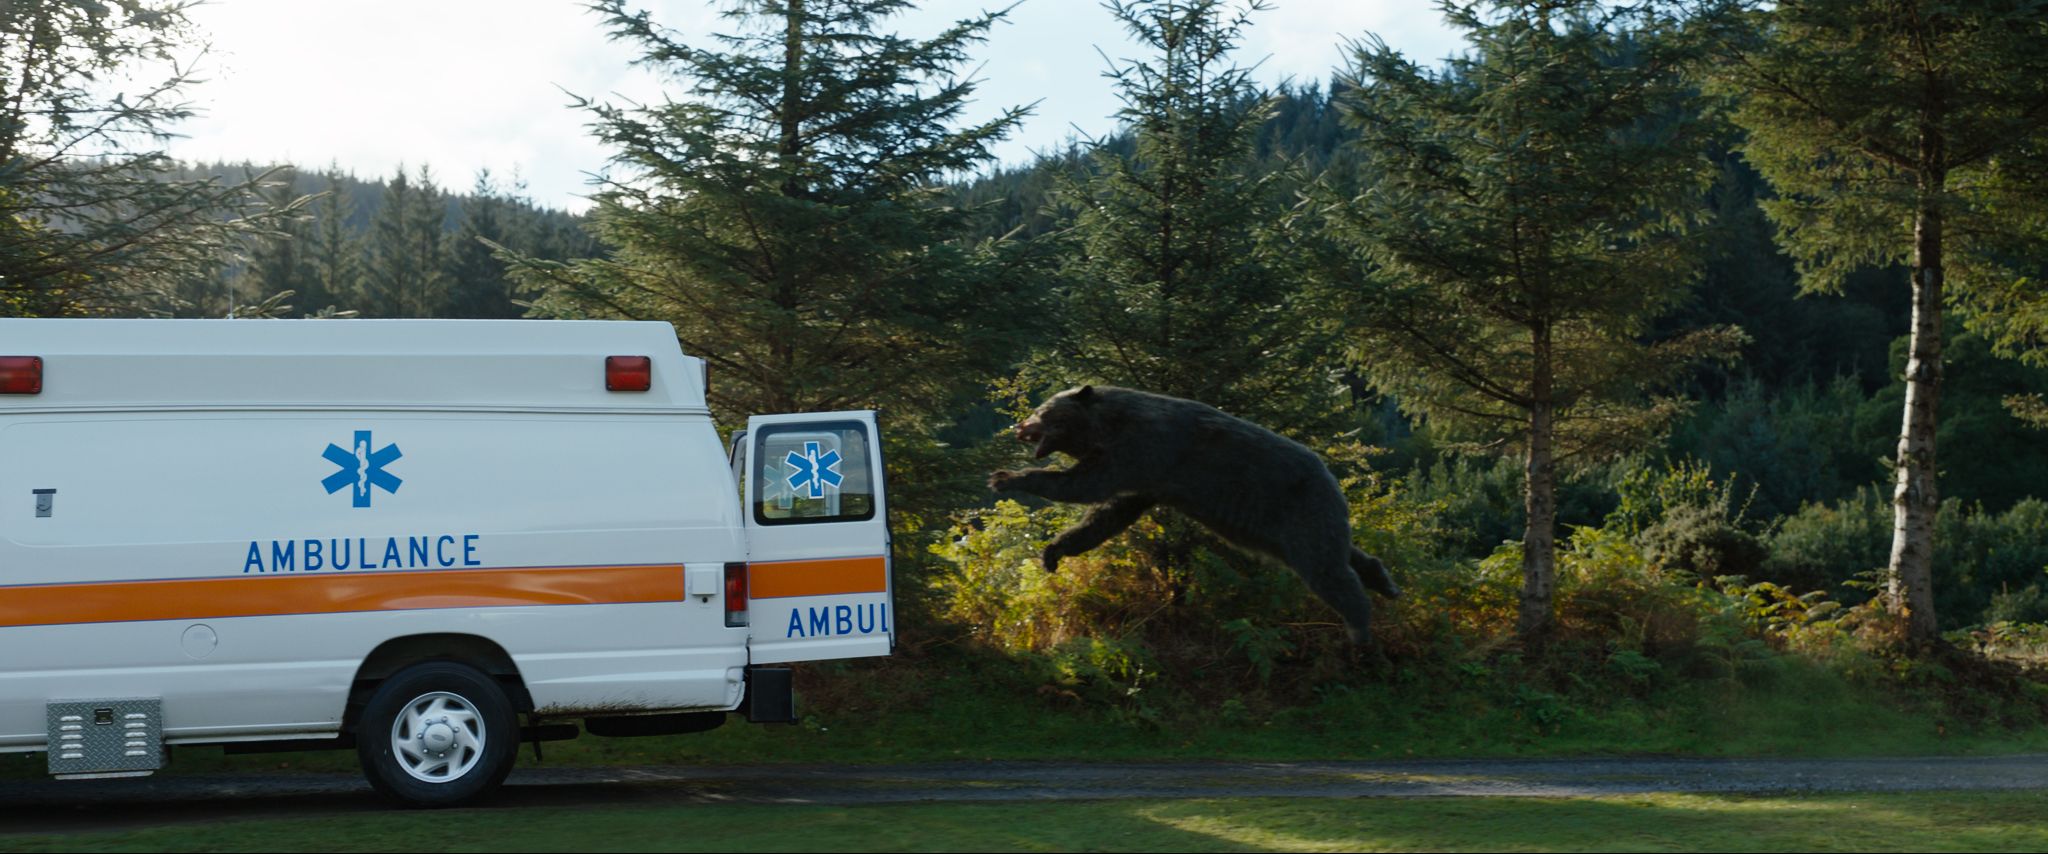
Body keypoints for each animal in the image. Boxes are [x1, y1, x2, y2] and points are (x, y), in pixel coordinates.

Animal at [987, 384, 1401, 644]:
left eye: (1042, 410)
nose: (1020, 425)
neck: (1108, 427)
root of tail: (1333, 477)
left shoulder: (1143, 449)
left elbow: (1084, 486)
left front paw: (1006, 477)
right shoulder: (1147, 480)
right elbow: (1107, 515)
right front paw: (1053, 551)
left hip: (1298, 511)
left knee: (1328, 572)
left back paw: (1360, 629)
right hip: (1289, 528)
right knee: (1343, 554)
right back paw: (1384, 581)